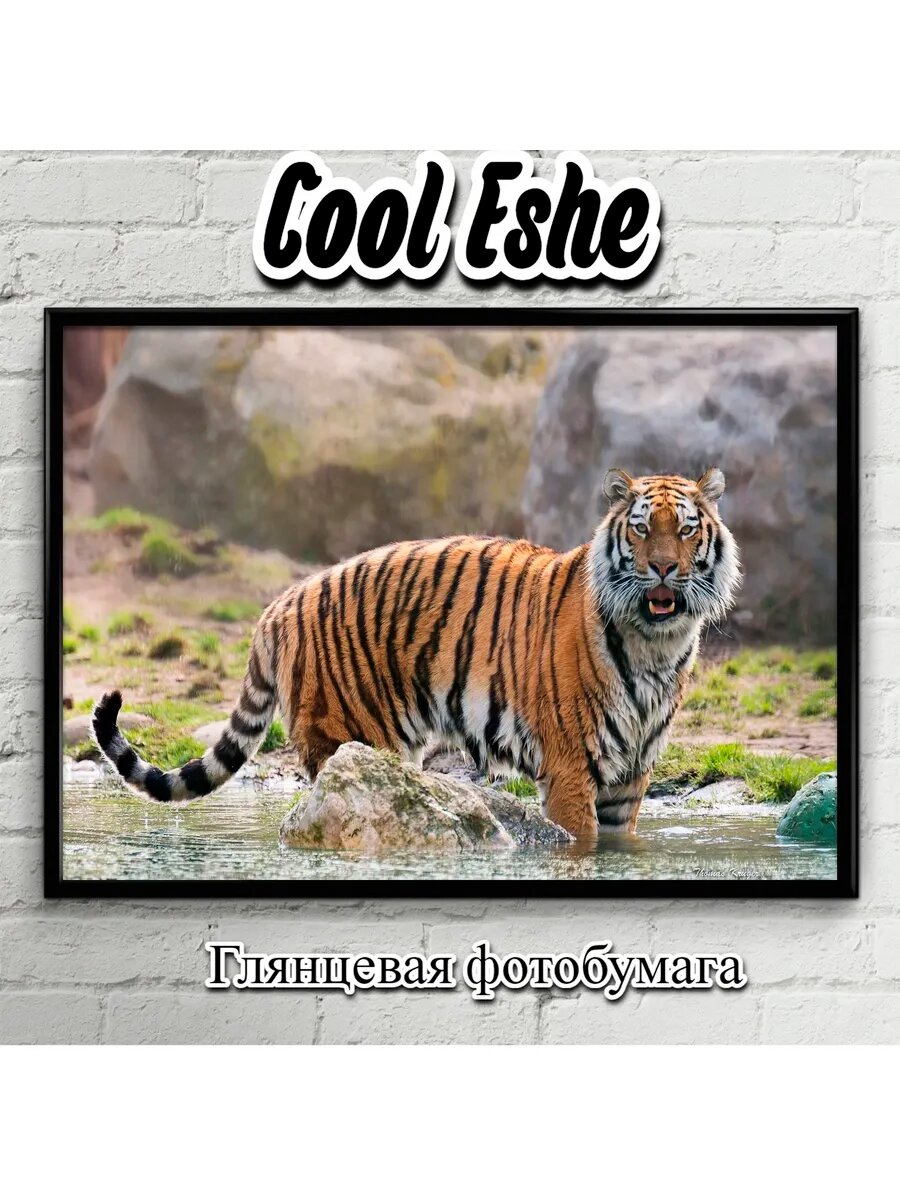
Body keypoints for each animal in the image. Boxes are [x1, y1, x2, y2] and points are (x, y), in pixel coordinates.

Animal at [92, 467, 741, 839]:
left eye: (685, 530)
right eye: (641, 528)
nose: (664, 568)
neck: (656, 644)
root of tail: (279, 604)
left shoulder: (631, 771)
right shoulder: (570, 768)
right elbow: (579, 845)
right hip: (358, 737)